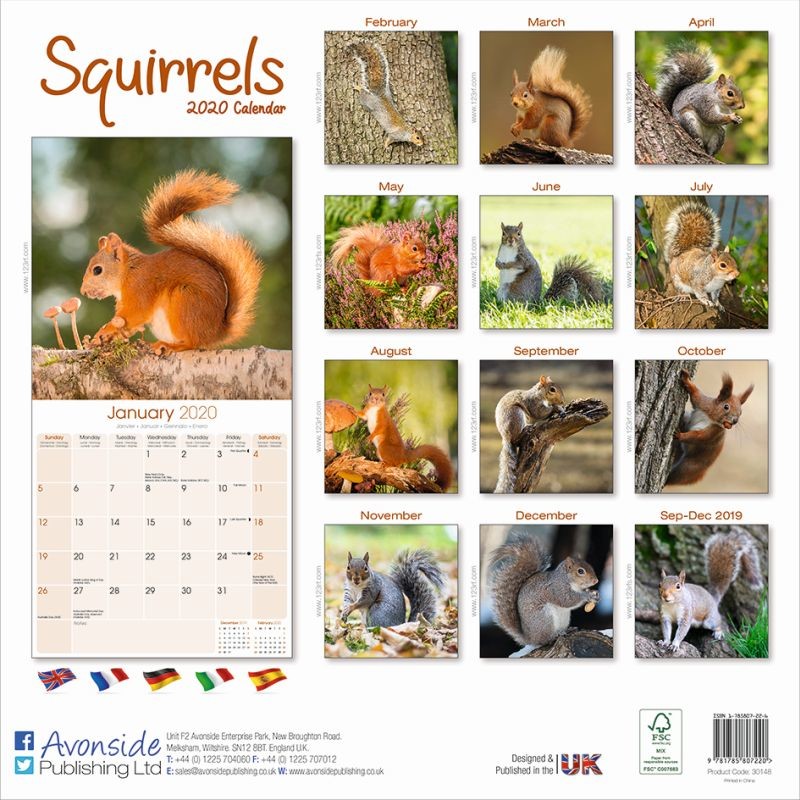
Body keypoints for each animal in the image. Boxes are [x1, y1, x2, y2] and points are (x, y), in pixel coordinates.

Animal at [80, 170, 263, 353]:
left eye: (97, 270)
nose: (83, 292)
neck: (128, 271)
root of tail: (215, 332)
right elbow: (127, 325)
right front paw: (103, 337)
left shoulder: (141, 288)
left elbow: (136, 314)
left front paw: (103, 331)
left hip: (185, 300)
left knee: (192, 343)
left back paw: (168, 345)